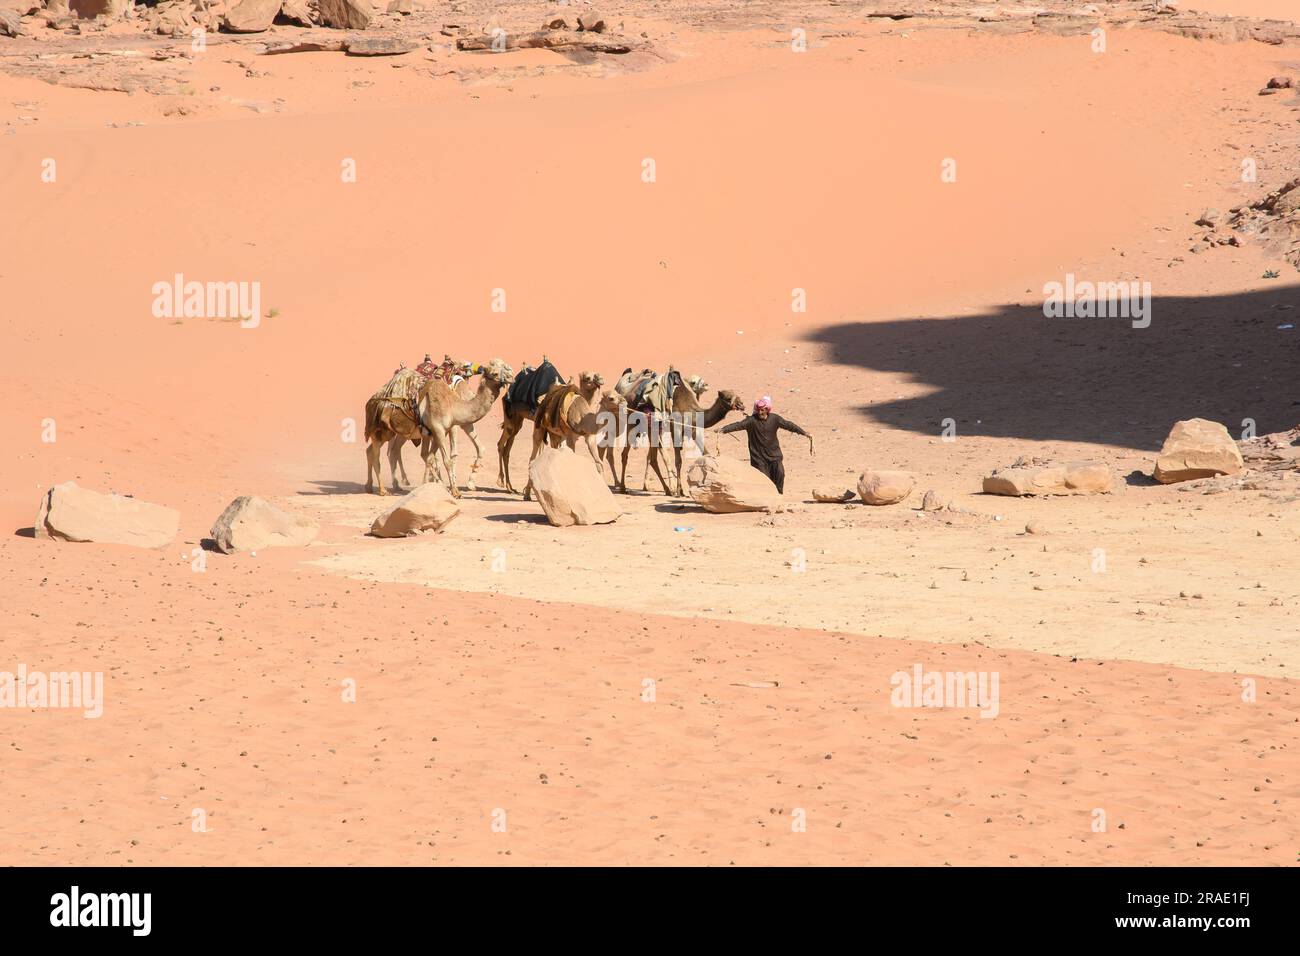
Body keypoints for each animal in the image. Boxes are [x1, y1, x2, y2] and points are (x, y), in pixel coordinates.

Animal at [497, 357, 565, 494]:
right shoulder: (541, 424)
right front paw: (529, 490)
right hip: (509, 417)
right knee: (501, 444)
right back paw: (502, 482)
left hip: (518, 421)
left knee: (507, 449)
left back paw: (510, 486)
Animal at [522, 371, 626, 501]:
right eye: (611, 398)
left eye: (618, 393)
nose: (625, 401)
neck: (583, 418)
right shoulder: (571, 437)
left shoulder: (590, 436)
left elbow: (599, 463)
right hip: (539, 427)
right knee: (533, 456)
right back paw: (526, 495)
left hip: (555, 434)